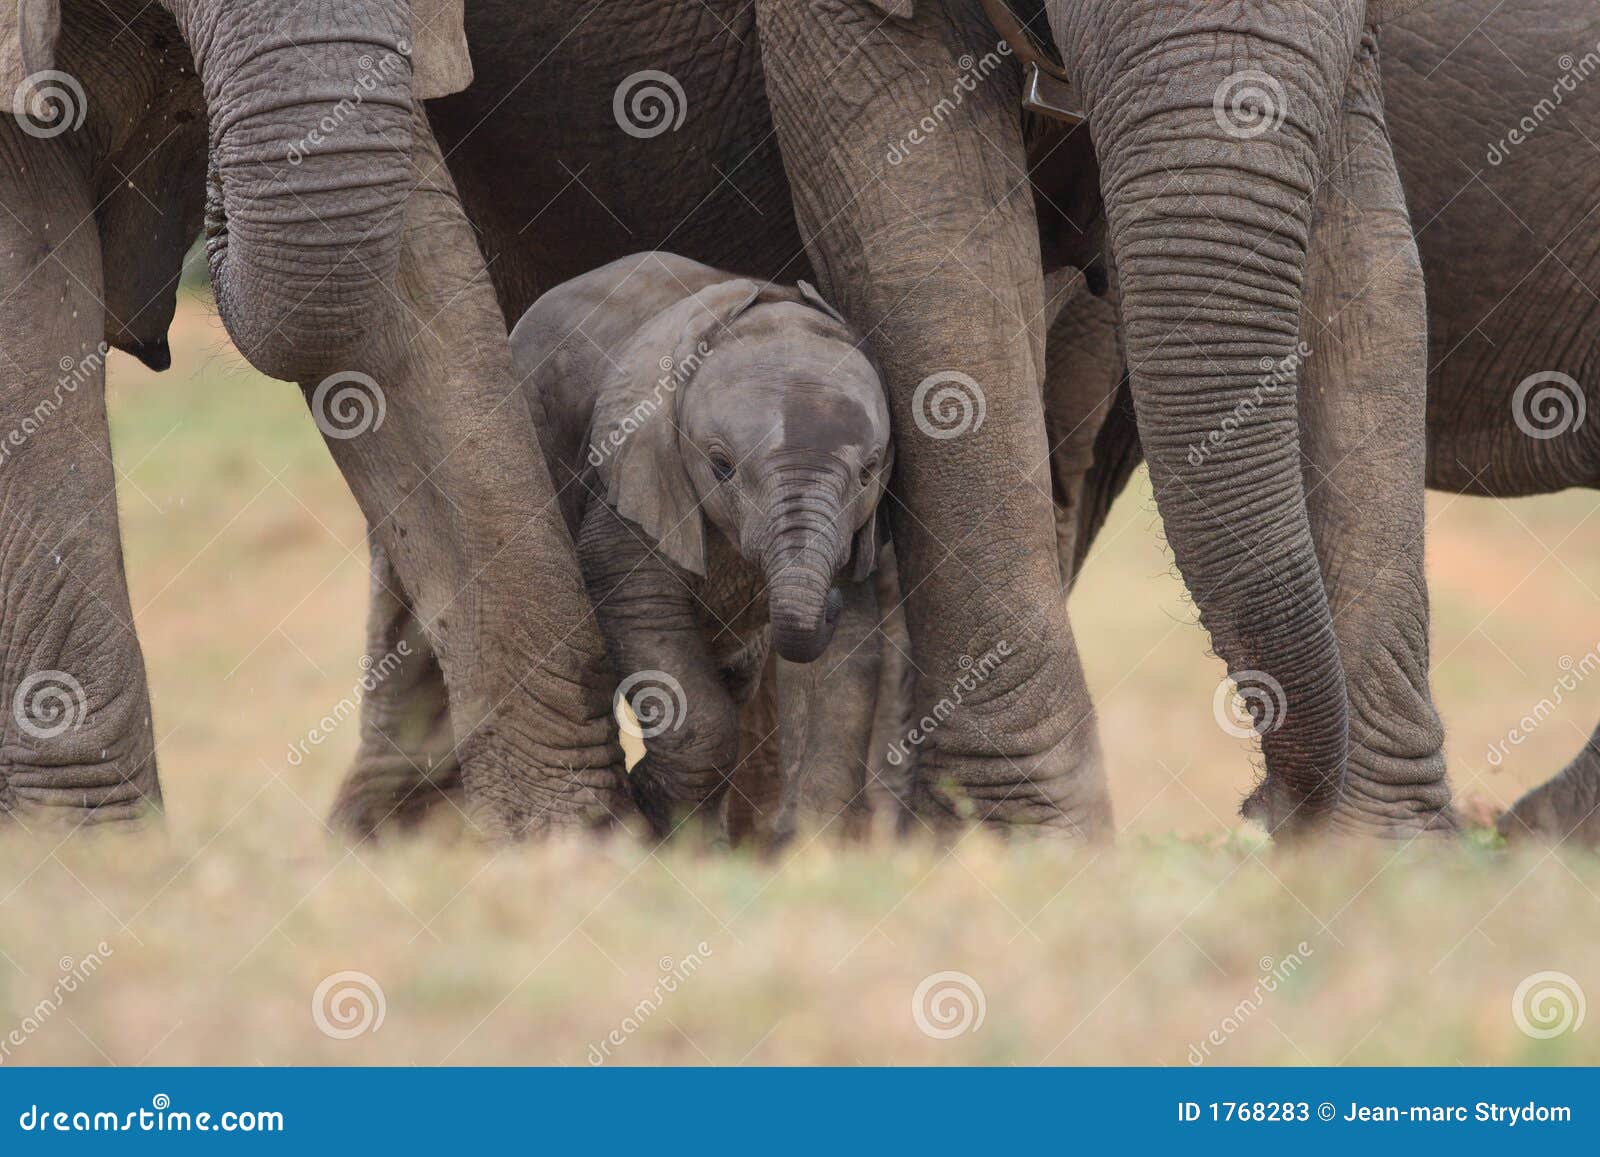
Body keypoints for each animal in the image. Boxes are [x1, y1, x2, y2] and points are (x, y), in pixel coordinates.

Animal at [331, 251, 896, 841]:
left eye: (868, 473)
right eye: (721, 467)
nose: (826, 601)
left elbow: (847, 661)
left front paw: (806, 842)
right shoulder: (633, 469)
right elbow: (642, 612)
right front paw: (657, 810)